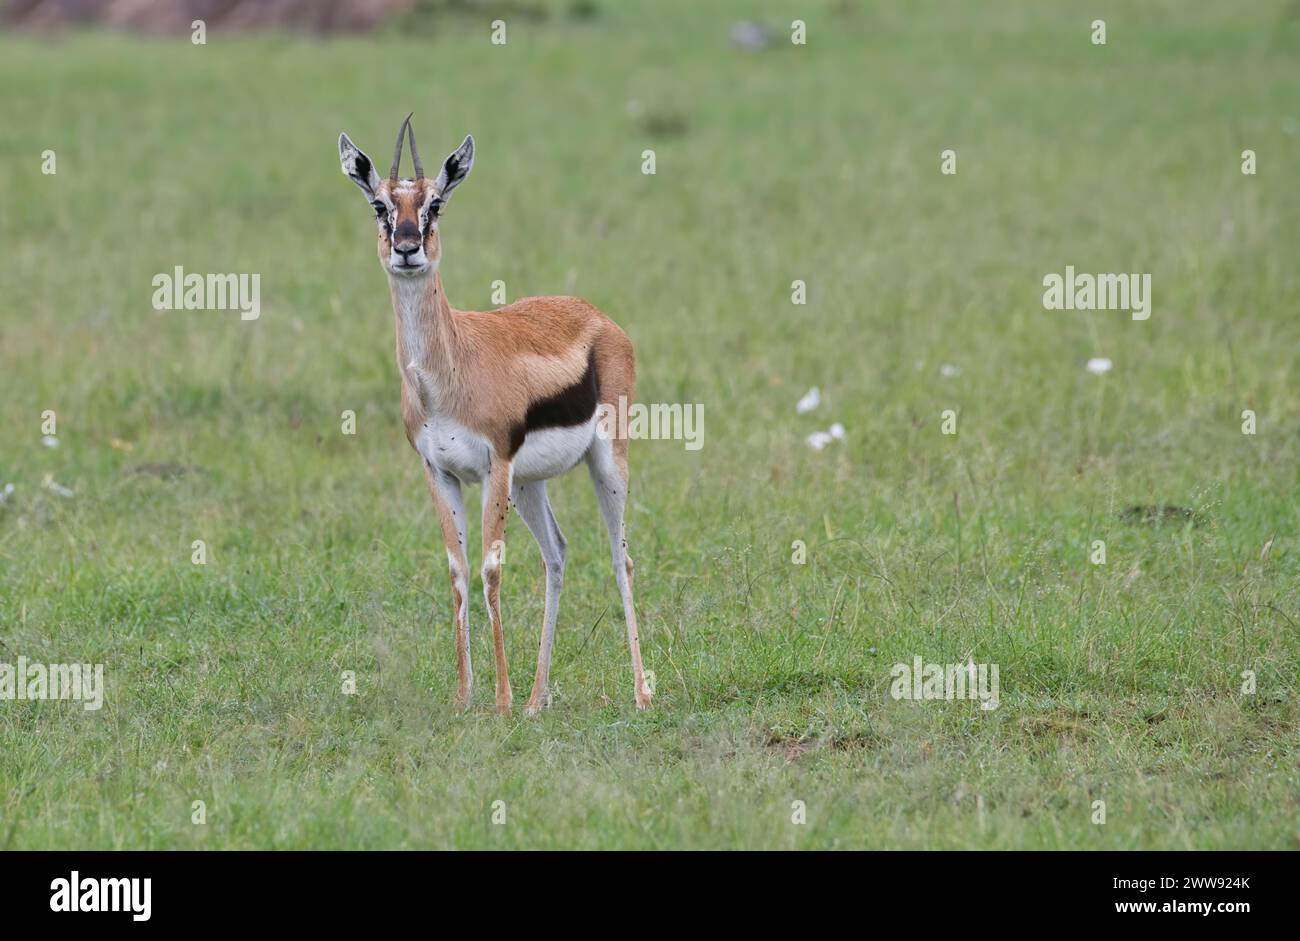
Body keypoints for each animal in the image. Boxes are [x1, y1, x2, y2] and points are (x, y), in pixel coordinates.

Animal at [337, 115, 651, 715]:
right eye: (380, 206)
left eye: (435, 203)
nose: (407, 248)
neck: (448, 373)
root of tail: (600, 319)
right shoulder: (439, 472)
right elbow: (459, 573)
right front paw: (466, 698)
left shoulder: (494, 468)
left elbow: (490, 571)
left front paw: (500, 702)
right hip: (530, 485)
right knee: (557, 554)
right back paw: (537, 699)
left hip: (604, 463)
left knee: (620, 558)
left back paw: (641, 693)